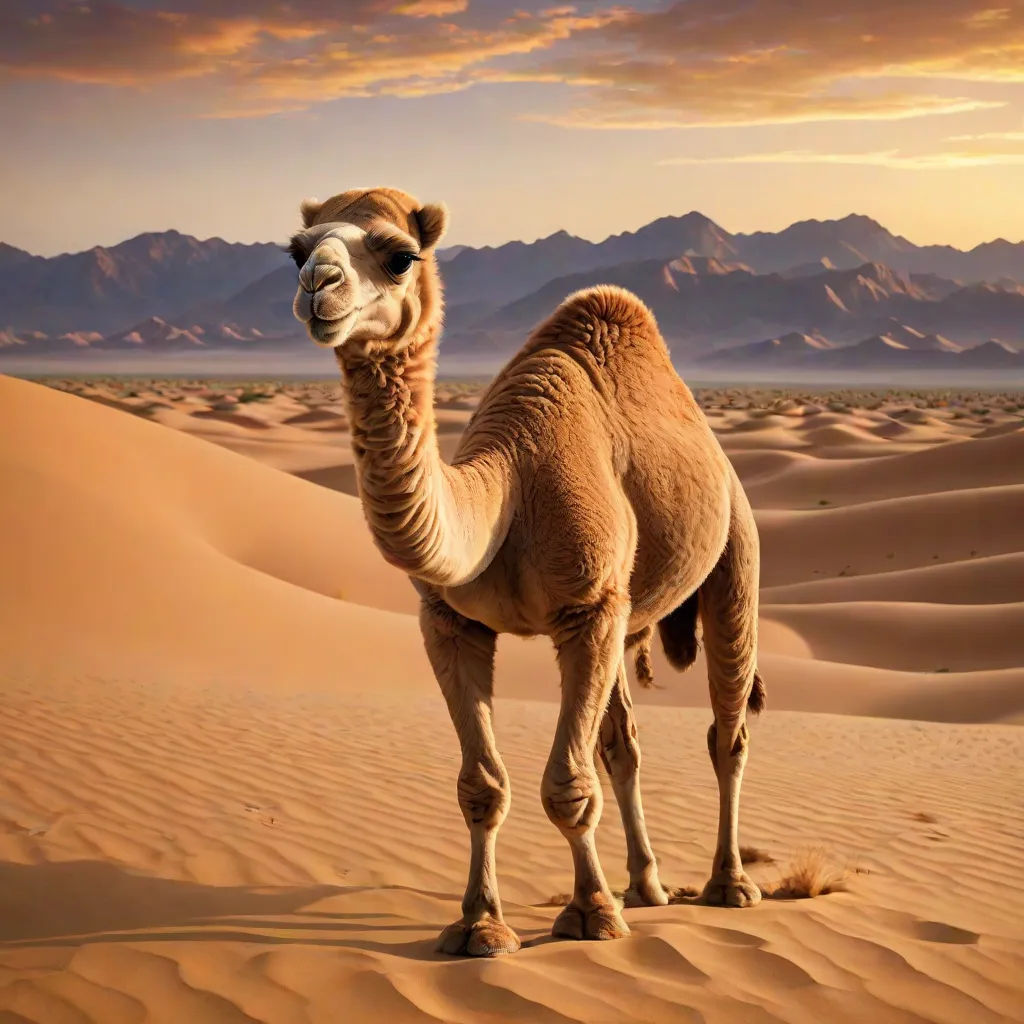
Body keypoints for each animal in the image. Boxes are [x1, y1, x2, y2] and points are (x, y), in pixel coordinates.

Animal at [288, 187, 766, 957]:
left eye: (400, 255)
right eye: (295, 250)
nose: (316, 286)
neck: (504, 489)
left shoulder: (588, 607)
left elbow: (567, 784)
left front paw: (591, 914)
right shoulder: (451, 621)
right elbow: (482, 786)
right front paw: (479, 925)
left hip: (734, 551)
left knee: (728, 733)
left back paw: (729, 885)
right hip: (627, 612)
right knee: (623, 744)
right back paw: (648, 885)